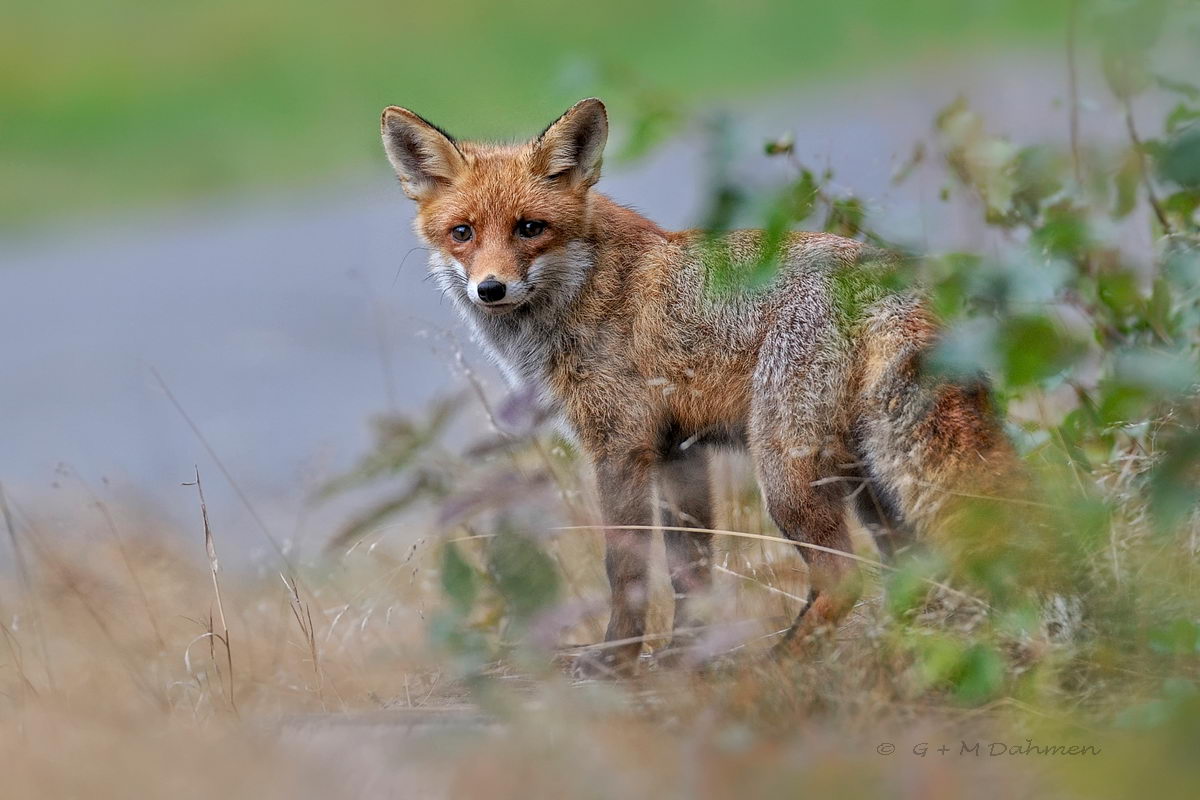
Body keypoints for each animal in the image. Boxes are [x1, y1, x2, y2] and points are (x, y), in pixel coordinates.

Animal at [379, 98, 1019, 677]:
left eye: (530, 229)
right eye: (462, 233)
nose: (491, 289)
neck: (587, 287)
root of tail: (889, 280)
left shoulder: (621, 447)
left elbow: (626, 569)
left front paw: (617, 658)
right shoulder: (677, 452)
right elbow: (691, 569)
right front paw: (682, 654)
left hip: (786, 473)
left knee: (846, 579)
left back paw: (780, 664)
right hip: (866, 476)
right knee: (911, 568)